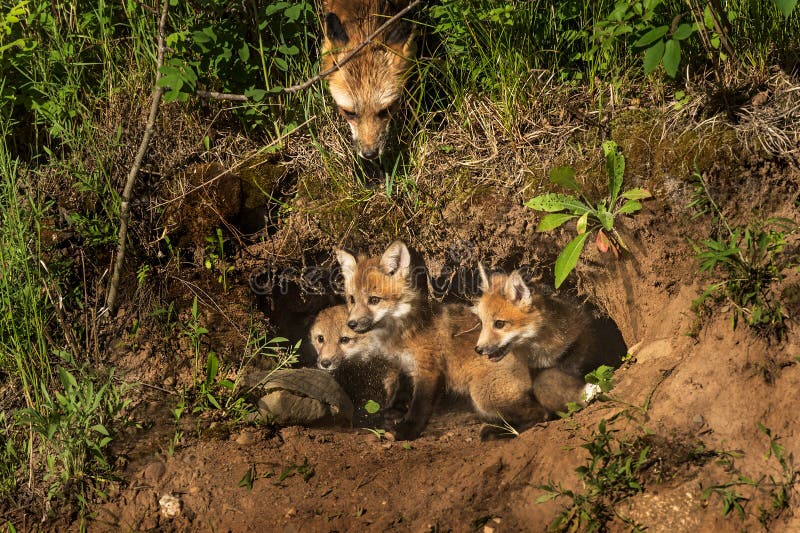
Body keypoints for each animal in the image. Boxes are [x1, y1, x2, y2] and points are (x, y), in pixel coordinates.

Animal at [336, 240, 552, 440]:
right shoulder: (405, 367)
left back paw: (499, 432)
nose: (351, 324)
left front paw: (407, 431)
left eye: (374, 300)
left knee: (541, 414)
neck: (402, 334)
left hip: (482, 394)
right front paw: (391, 415)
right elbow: (400, 394)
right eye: (352, 299)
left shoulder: (429, 369)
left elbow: (419, 406)